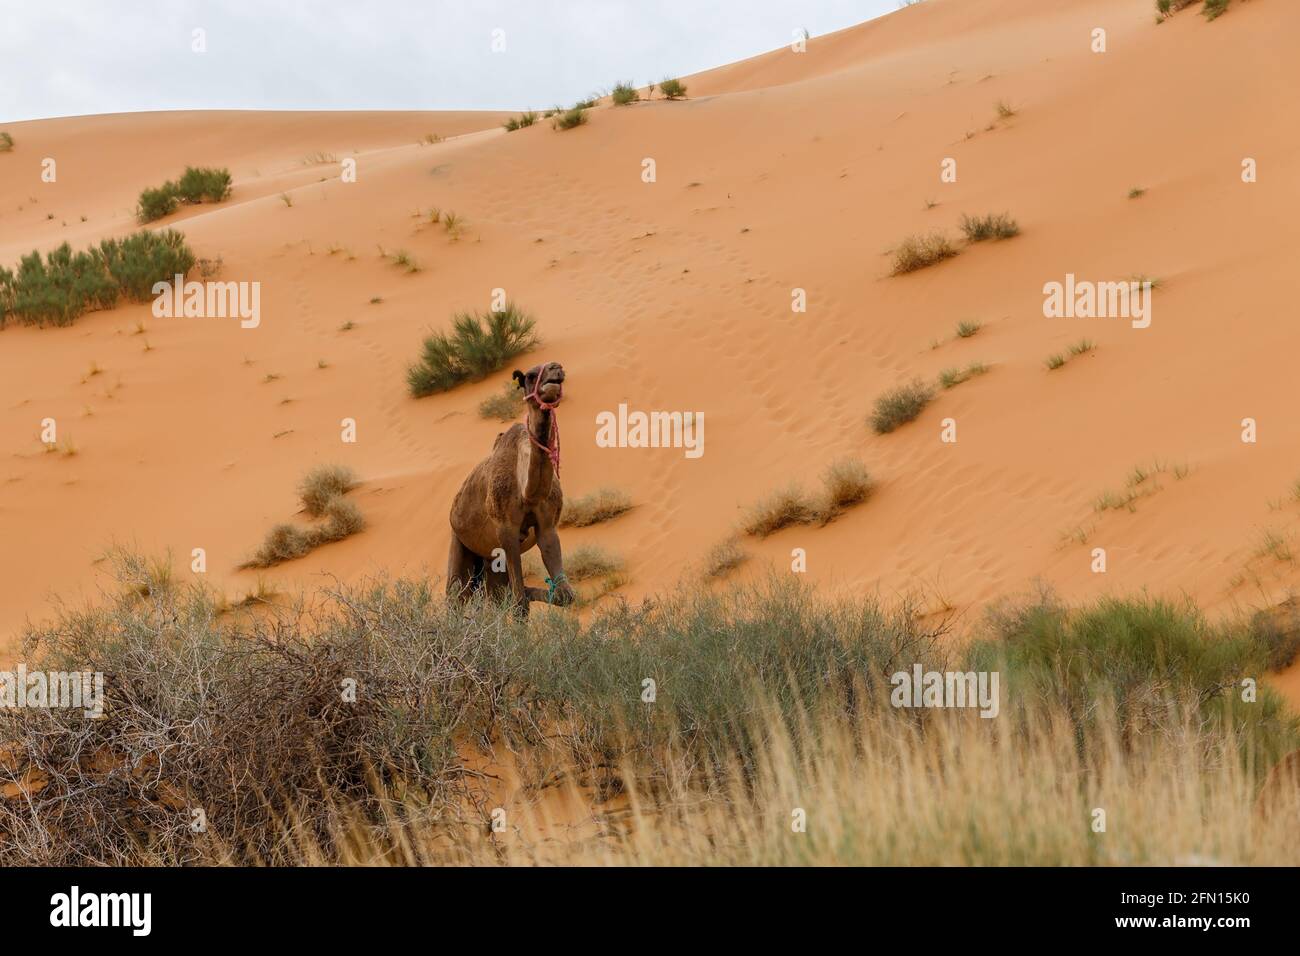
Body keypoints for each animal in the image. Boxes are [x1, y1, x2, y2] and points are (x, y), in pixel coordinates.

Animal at [446, 361, 576, 614]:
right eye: (531, 375)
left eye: (560, 370)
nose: (556, 369)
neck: (527, 492)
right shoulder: (506, 528)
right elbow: (518, 601)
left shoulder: (547, 526)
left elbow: (564, 595)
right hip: (459, 541)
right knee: (456, 597)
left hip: (490, 559)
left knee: (496, 596)